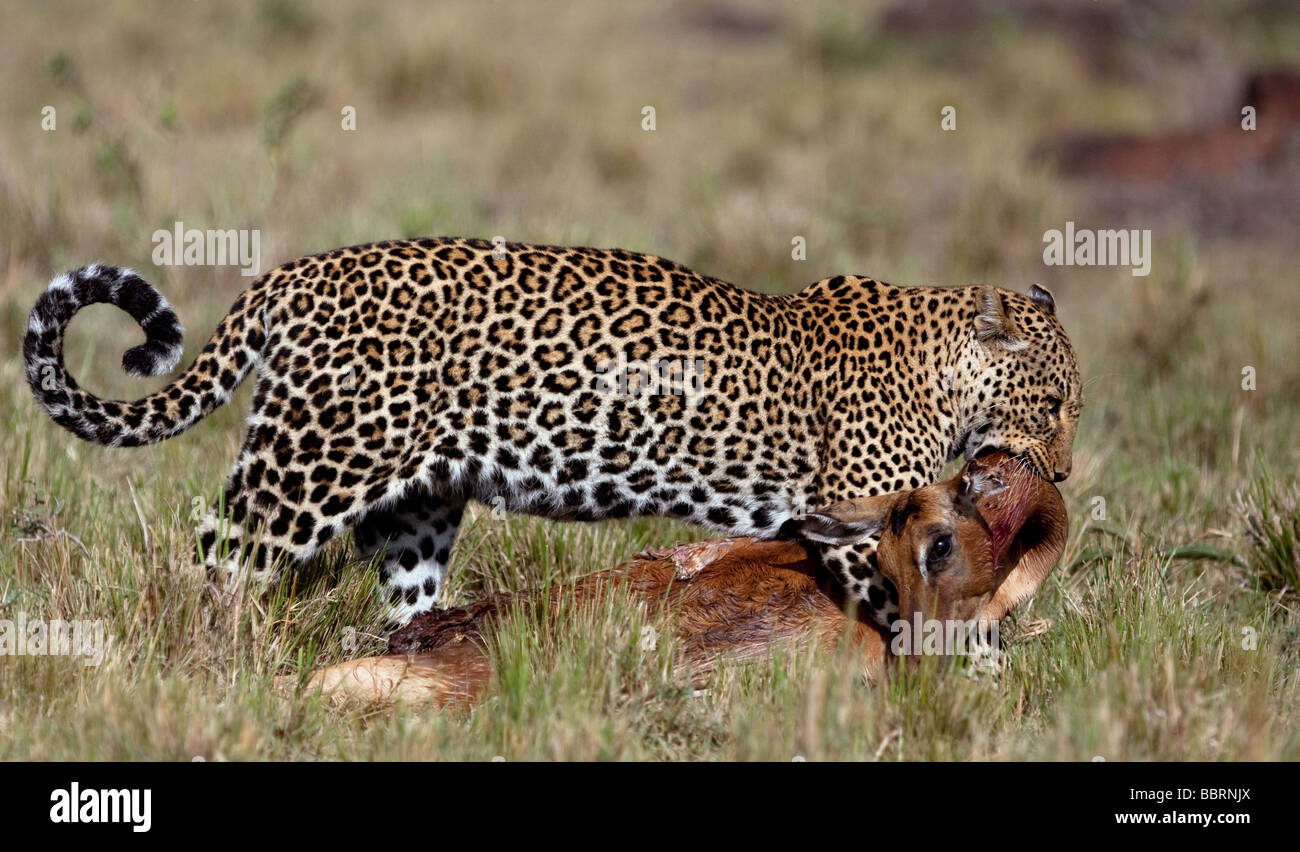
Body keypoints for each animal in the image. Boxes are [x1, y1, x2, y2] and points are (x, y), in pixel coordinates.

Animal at [23, 237, 1082, 628]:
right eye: (1058, 404)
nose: (1066, 472)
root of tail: (292, 271)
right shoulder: (859, 523)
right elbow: (933, 613)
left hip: (419, 503)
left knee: (401, 596)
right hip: (314, 462)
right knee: (217, 562)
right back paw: (209, 666)